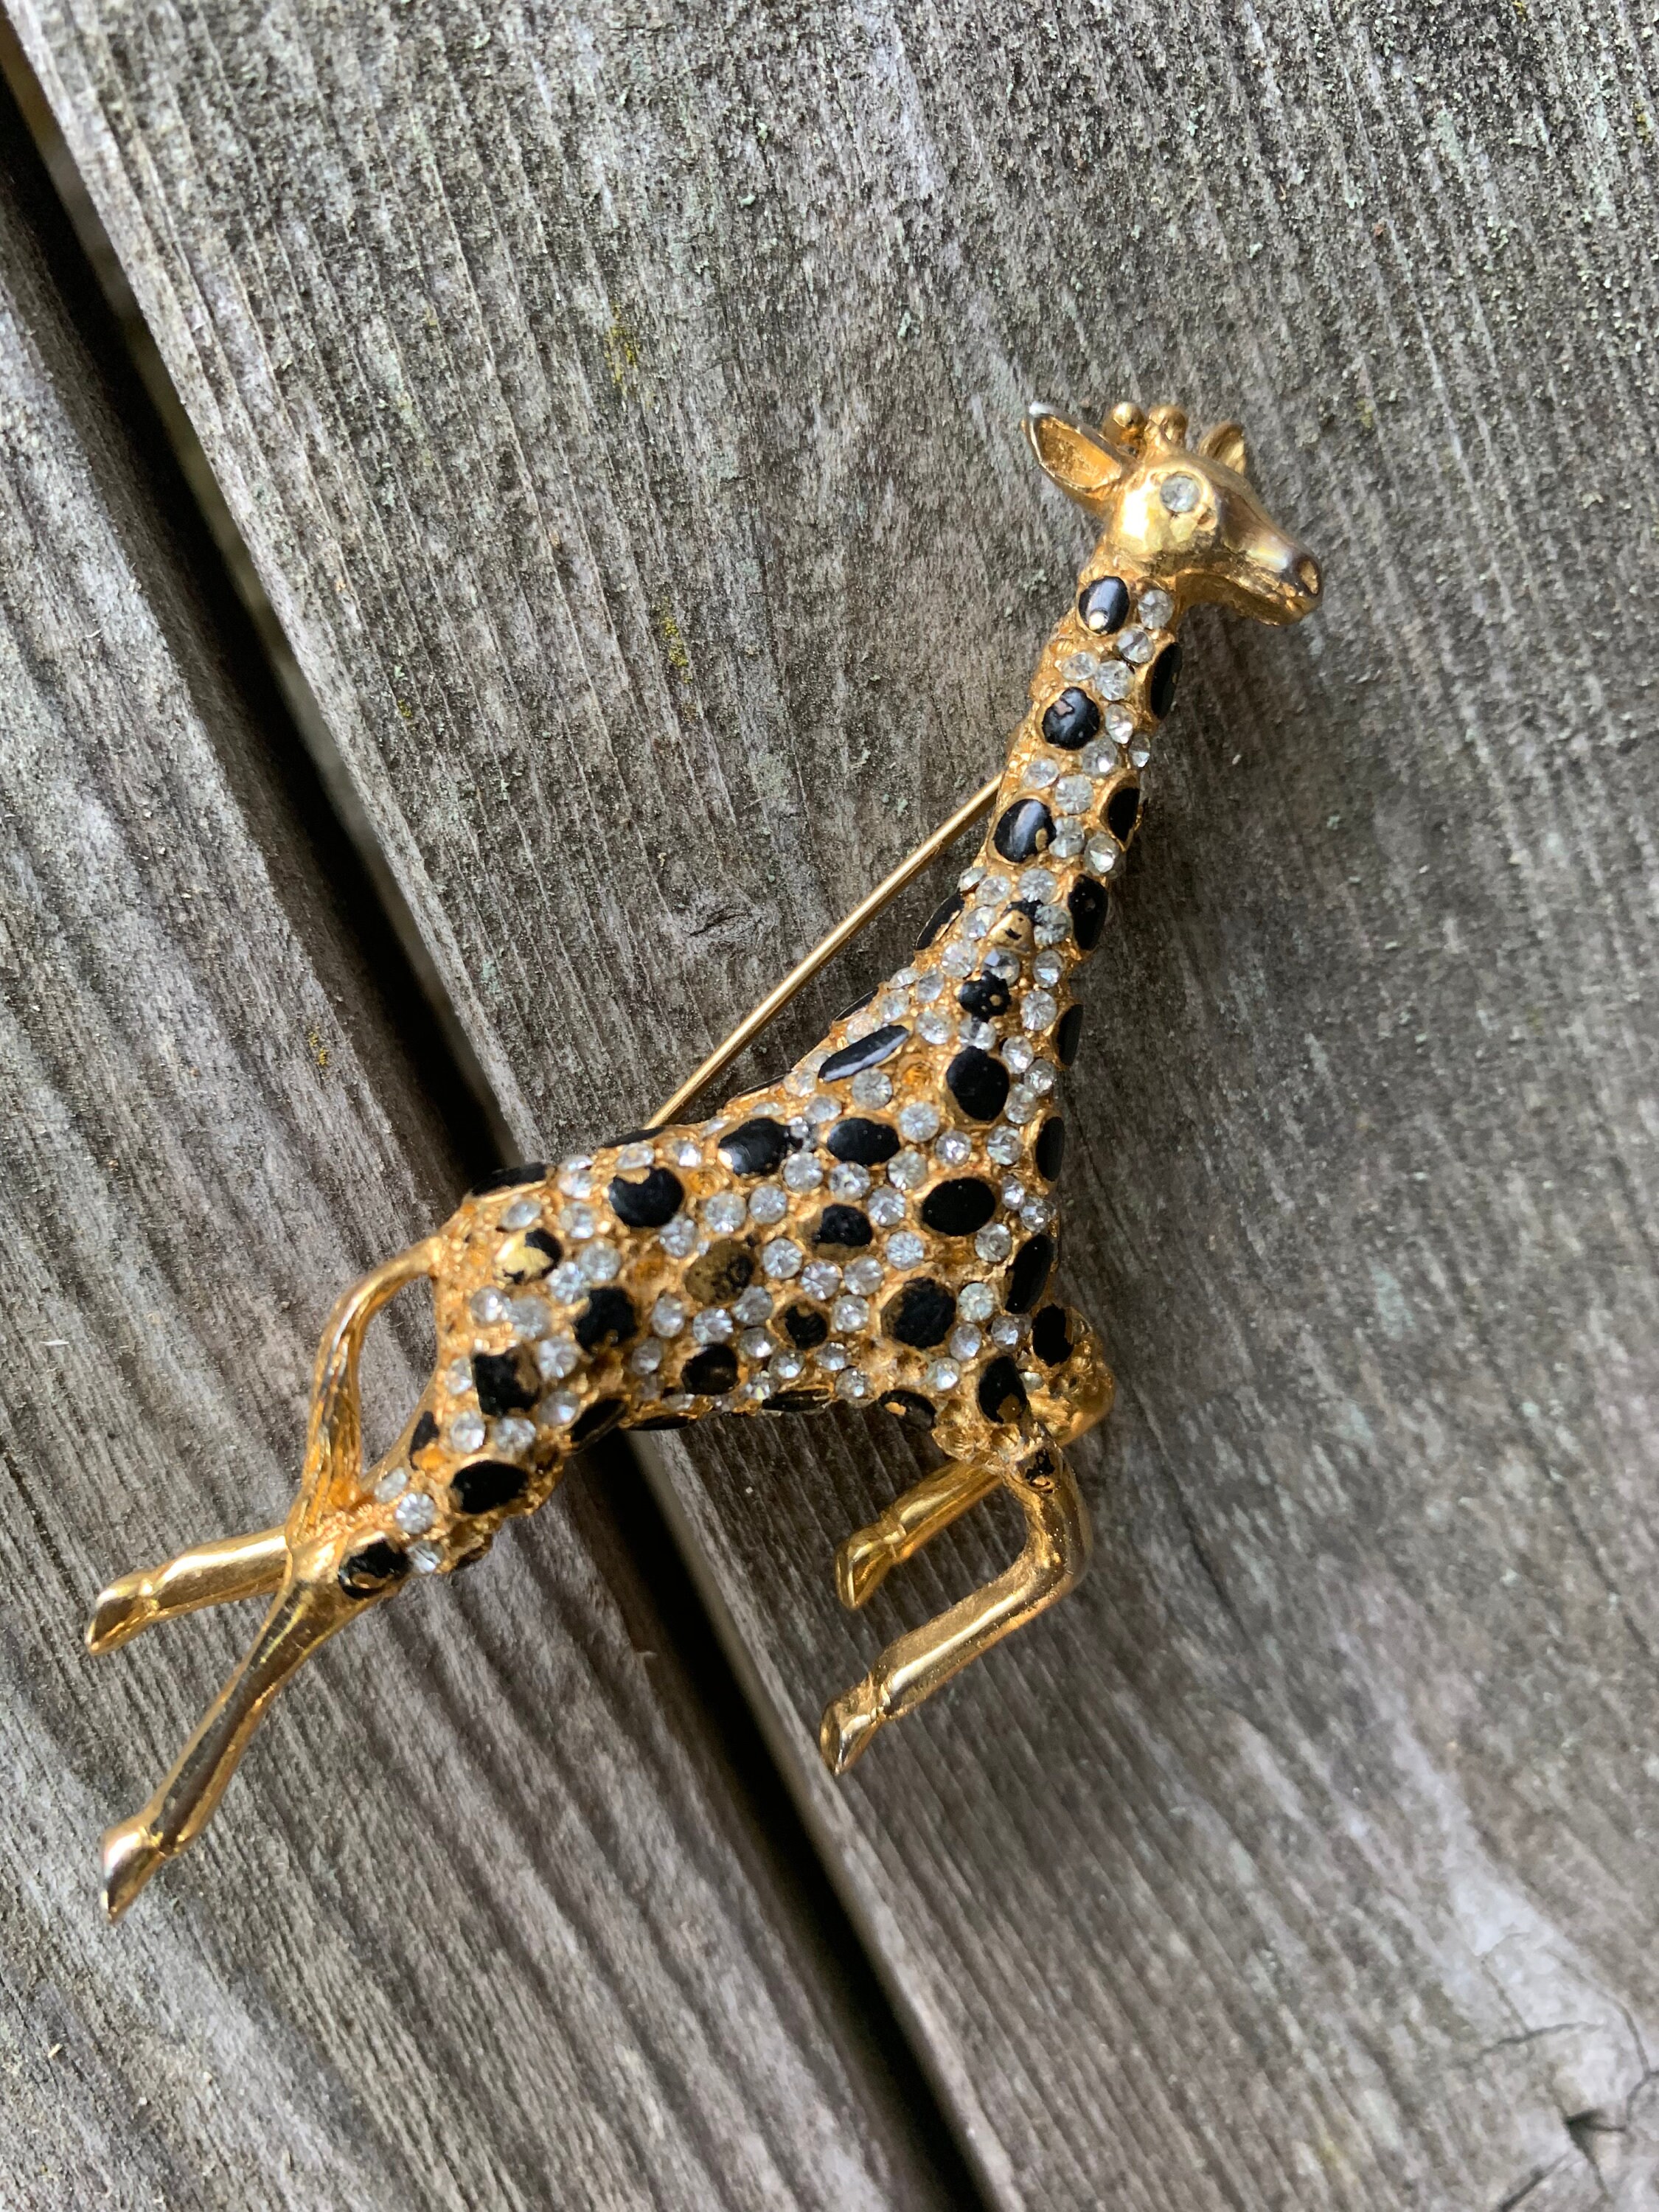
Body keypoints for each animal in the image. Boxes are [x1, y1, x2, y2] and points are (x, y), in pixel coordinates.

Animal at [87, 398, 1319, 1918]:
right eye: (1186, 506)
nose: (1302, 576)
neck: (998, 1013)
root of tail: (450, 1247)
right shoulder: (984, 1354)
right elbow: (1064, 1545)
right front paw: (858, 1701)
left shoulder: (995, 1354)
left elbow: (1086, 1406)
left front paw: (871, 1550)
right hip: (502, 1444)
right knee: (342, 1565)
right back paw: (138, 1846)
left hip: (479, 1435)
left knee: (319, 1529)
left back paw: (131, 1603)